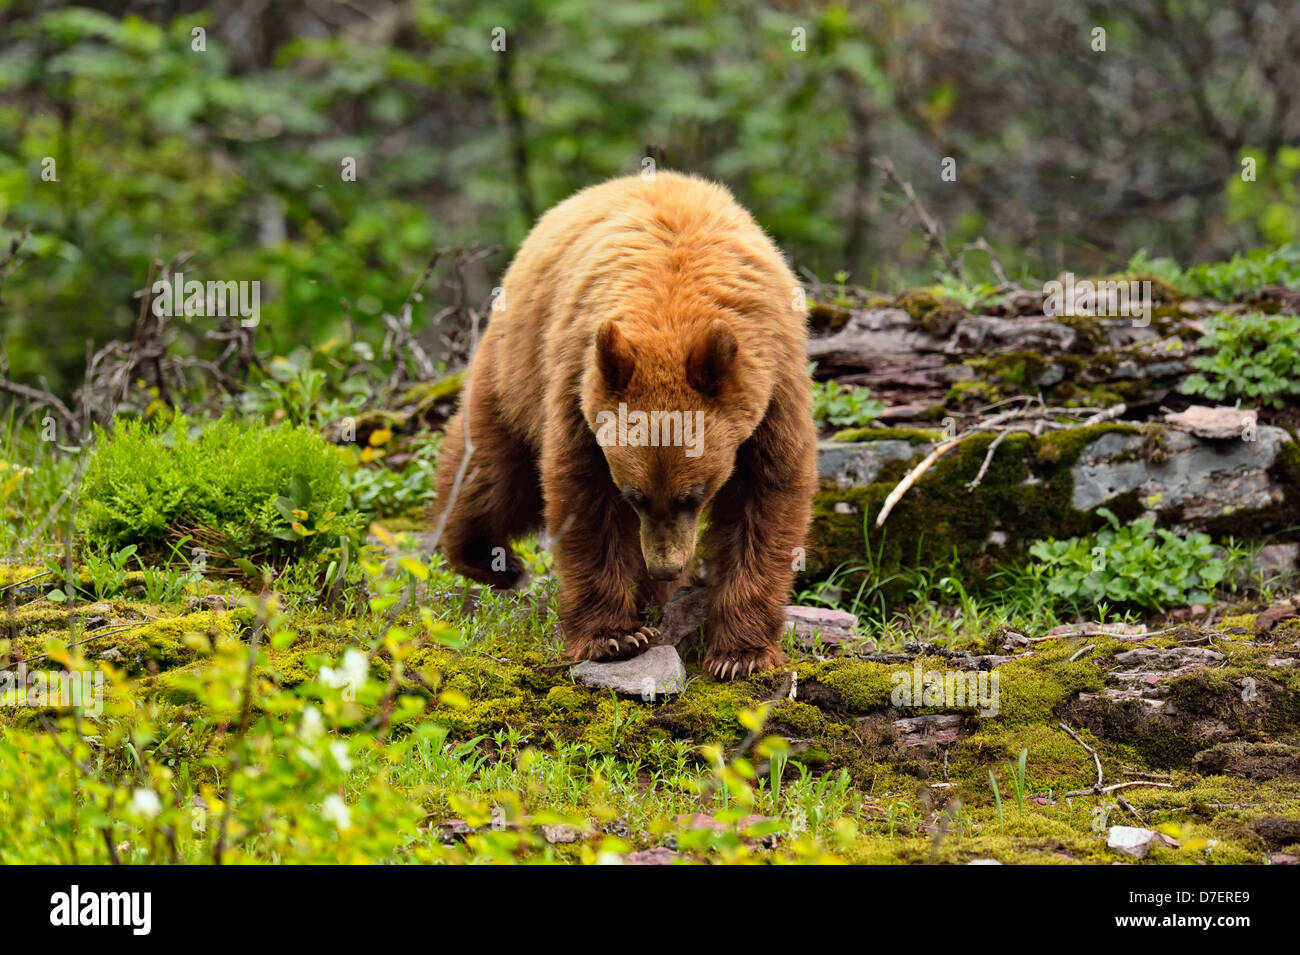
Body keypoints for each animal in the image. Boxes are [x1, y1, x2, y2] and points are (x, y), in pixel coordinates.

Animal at [433, 171, 817, 679]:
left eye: (693, 496)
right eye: (634, 495)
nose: (665, 568)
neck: (673, 307)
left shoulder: (773, 385)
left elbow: (767, 497)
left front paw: (740, 653)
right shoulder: (580, 380)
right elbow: (584, 496)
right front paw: (614, 635)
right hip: (516, 366)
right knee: (493, 472)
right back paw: (486, 558)